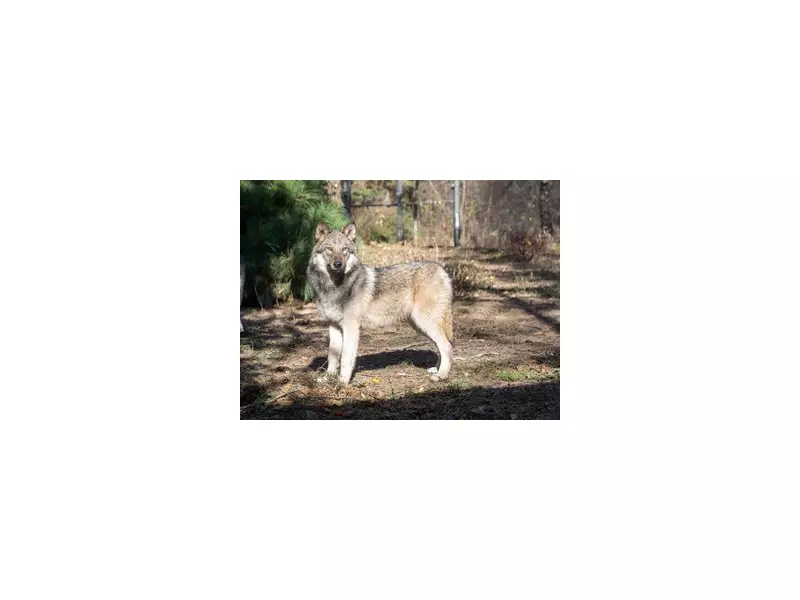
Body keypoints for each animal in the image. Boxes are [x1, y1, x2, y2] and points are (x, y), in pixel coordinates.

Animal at [307, 222, 454, 384]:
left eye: (344, 249)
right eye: (329, 249)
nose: (338, 264)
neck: (334, 286)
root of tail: (441, 269)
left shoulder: (351, 327)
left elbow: (345, 358)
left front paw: (342, 382)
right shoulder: (333, 325)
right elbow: (332, 356)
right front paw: (327, 378)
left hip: (425, 322)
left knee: (447, 346)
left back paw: (442, 375)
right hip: (419, 324)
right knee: (440, 346)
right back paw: (436, 369)